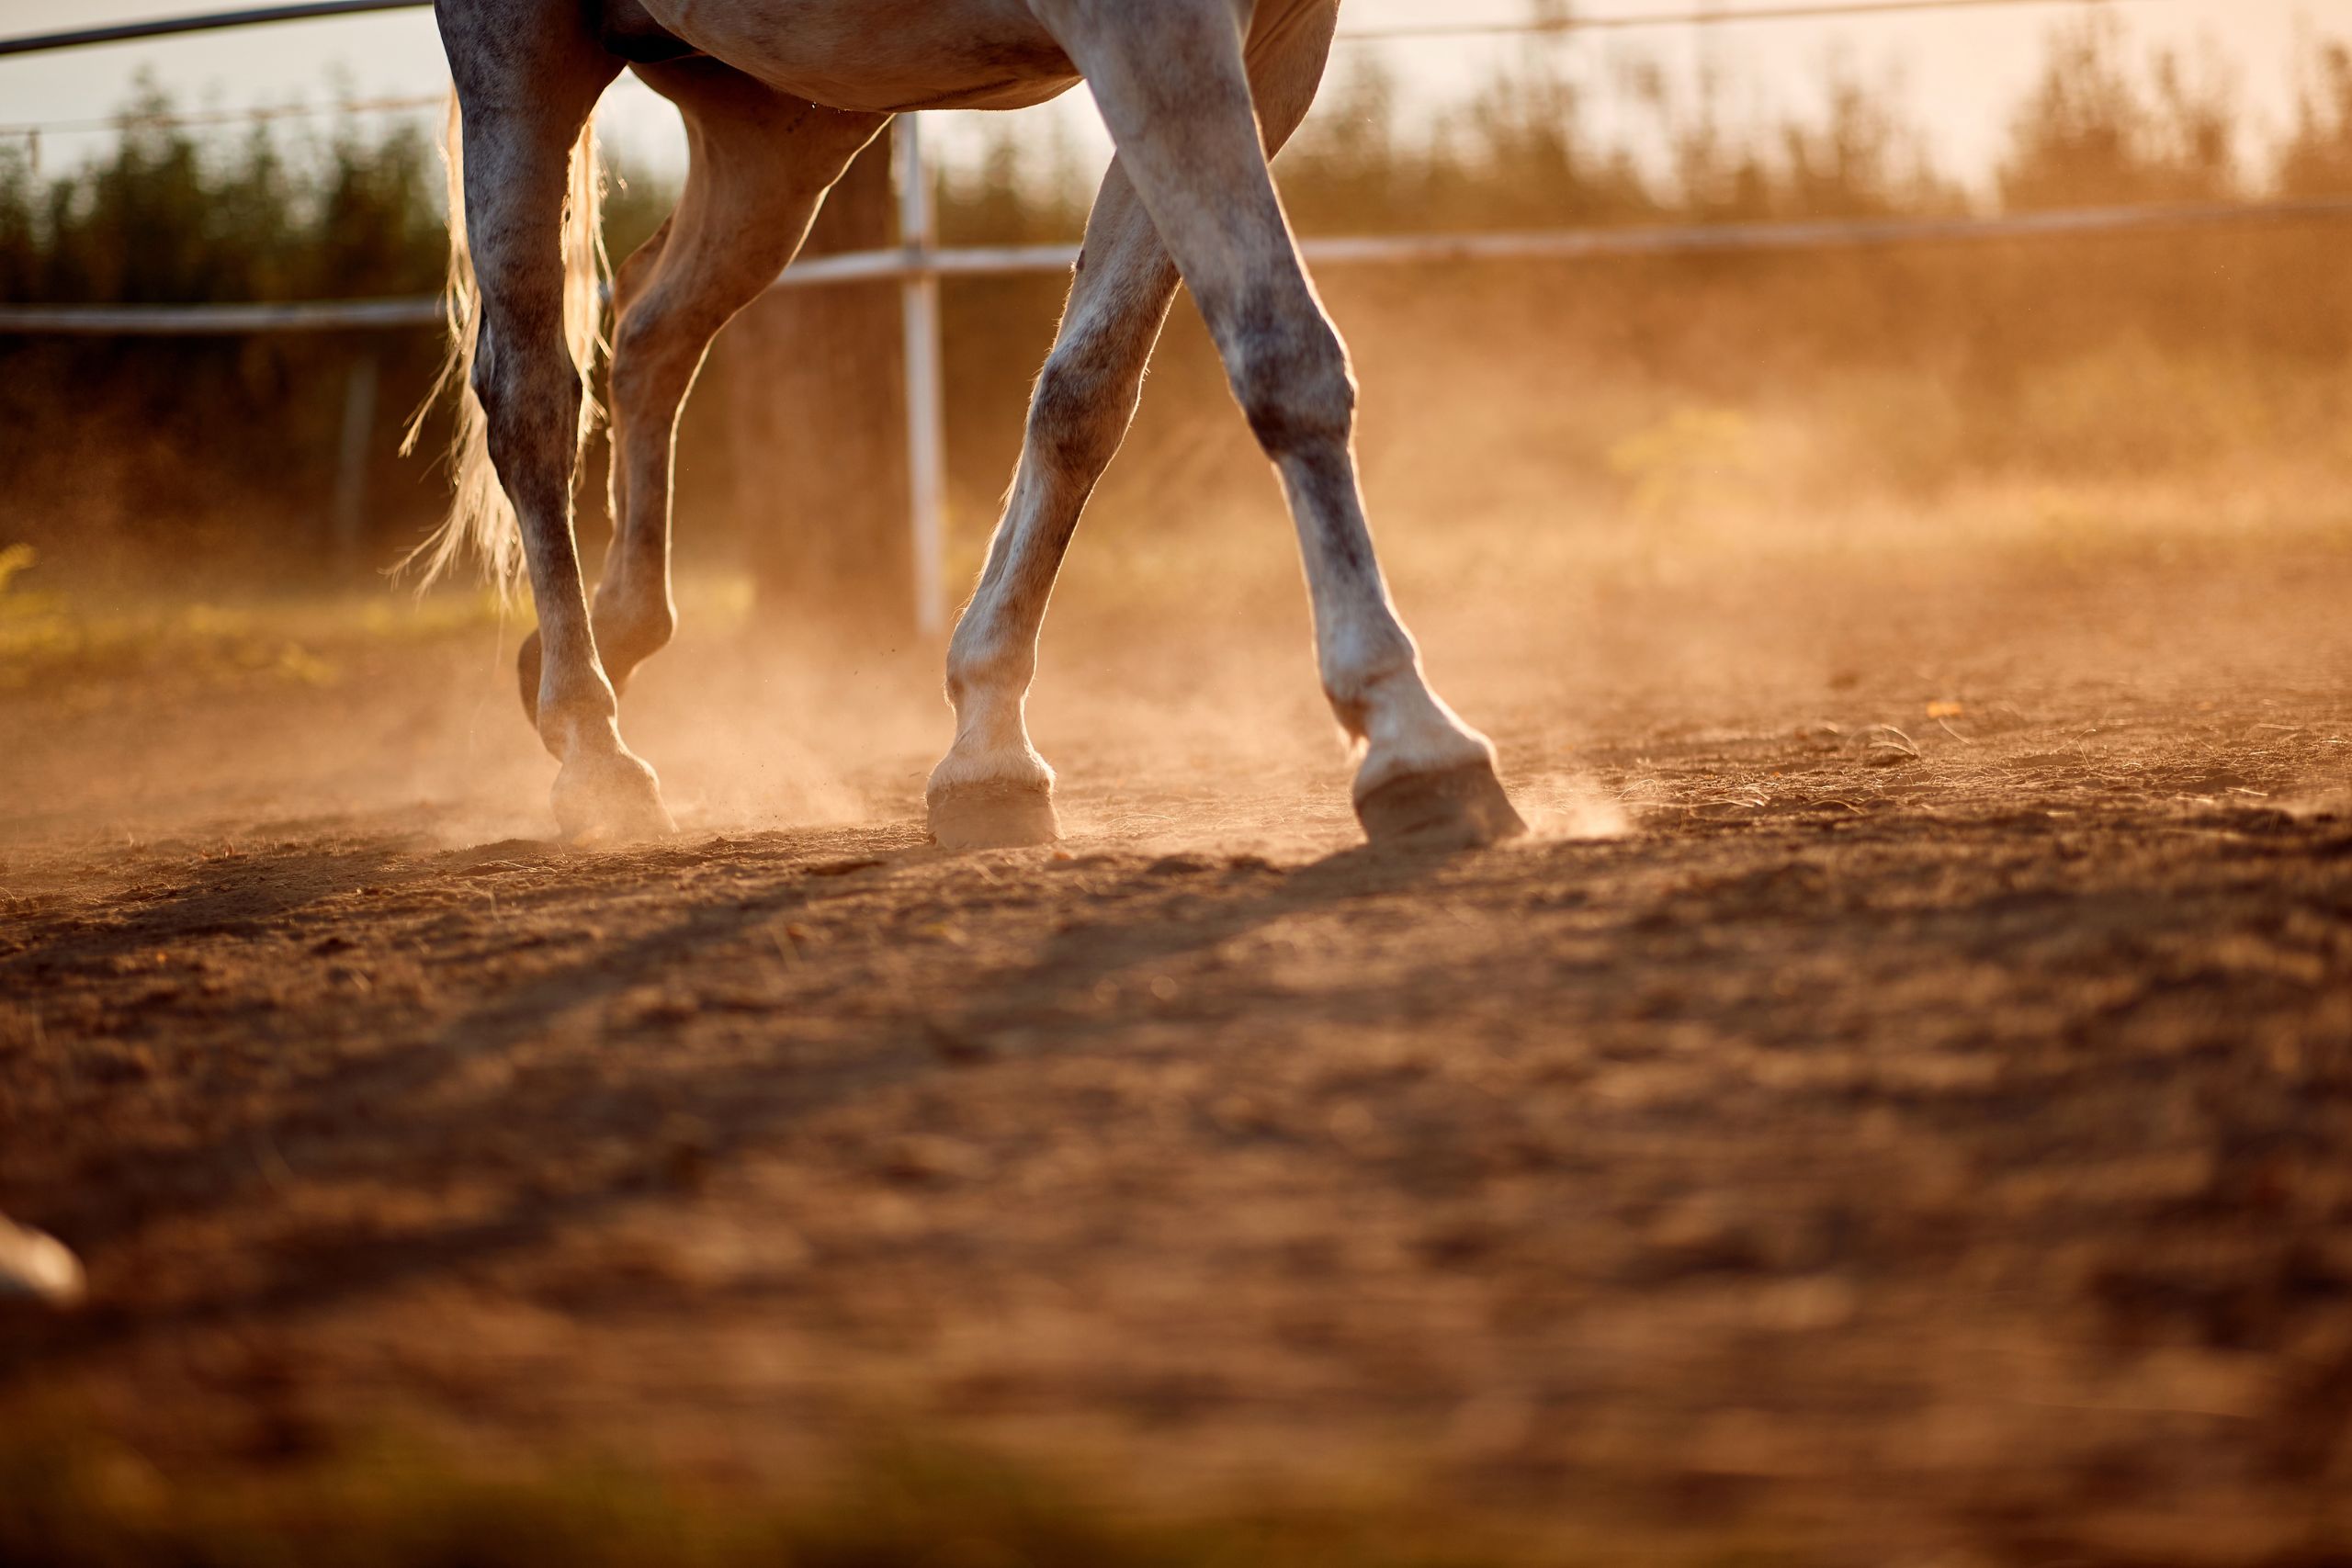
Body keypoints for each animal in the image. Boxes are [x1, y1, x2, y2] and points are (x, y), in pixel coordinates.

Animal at [415, 0, 1528, 851]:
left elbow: (1086, 394)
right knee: (532, 397)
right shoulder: (1154, 30)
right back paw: (592, 747)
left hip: (780, 122)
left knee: (651, 327)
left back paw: (604, 641)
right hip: (525, 60)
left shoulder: (1272, 49)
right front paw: (1411, 733)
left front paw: (988, 749)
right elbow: (1283, 353)